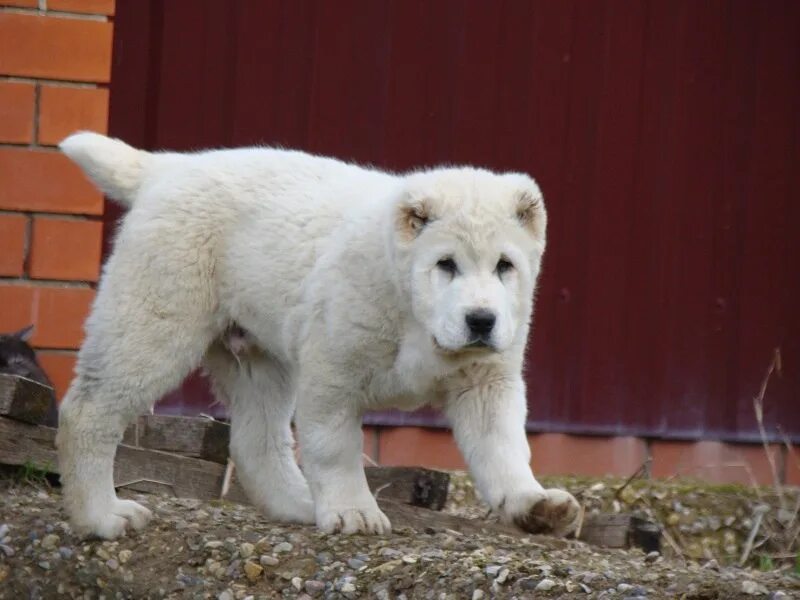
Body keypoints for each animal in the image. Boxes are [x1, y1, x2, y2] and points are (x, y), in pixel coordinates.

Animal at [57, 134, 580, 540]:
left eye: (505, 265)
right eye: (446, 264)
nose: (481, 320)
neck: (410, 306)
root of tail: (166, 168)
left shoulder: (485, 373)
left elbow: (501, 440)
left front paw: (537, 505)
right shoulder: (335, 363)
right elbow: (334, 443)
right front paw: (353, 512)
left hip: (257, 346)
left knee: (258, 434)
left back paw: (300, 504)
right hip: (160, 303)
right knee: (95, 403)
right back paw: (101, 517)